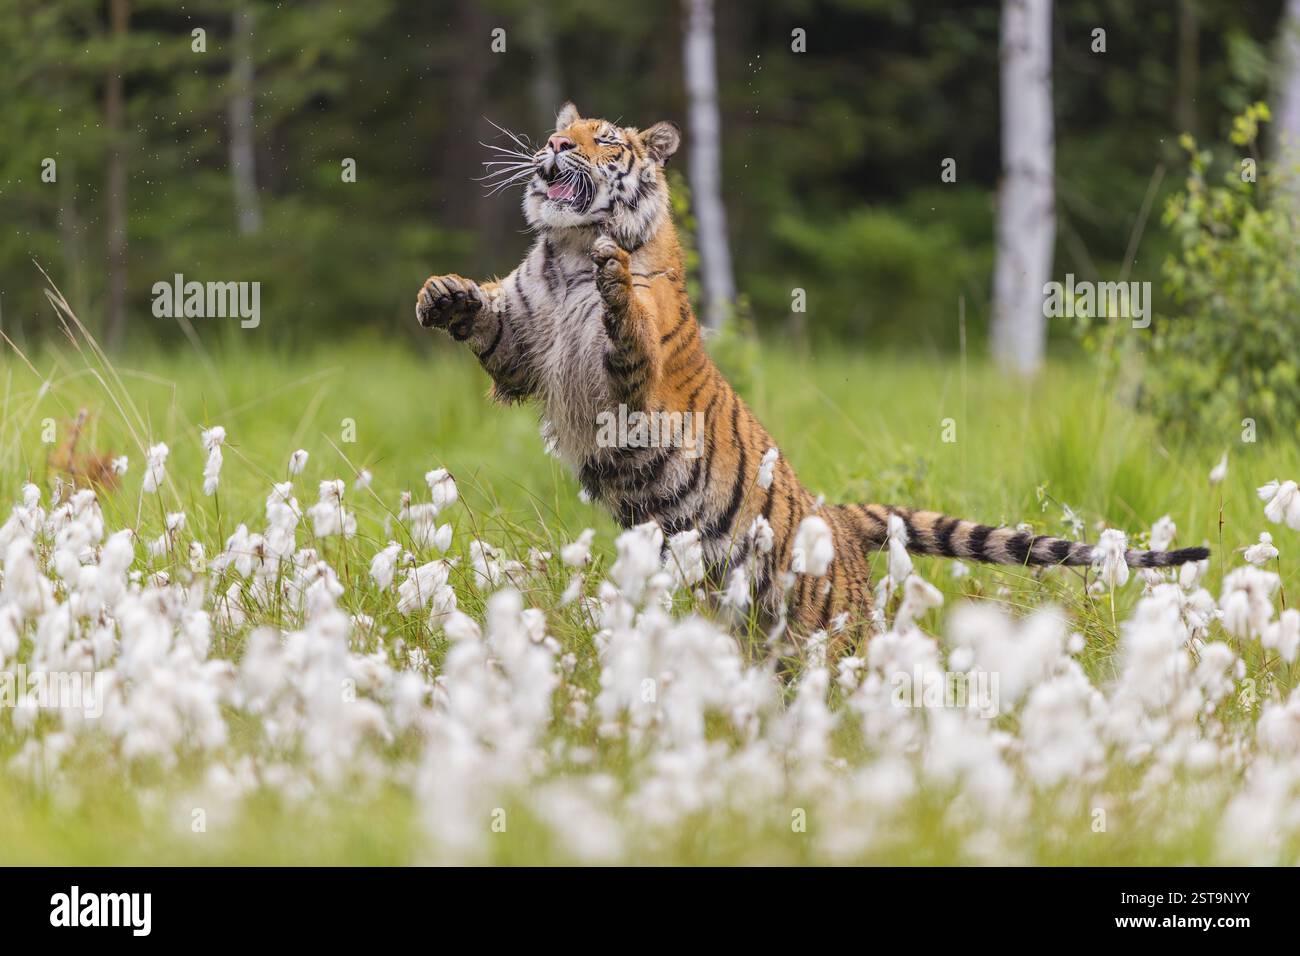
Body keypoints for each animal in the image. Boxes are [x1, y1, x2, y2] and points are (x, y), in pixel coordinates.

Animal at [416, 102, 1208, 642]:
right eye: (566, 132)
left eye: (604, 140)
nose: (552, 146)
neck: (573, 248)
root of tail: (843, 515)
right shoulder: (524, 350)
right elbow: (490, 326)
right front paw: (442, 294)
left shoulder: (633, 385)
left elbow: (628, 324)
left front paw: (617, 280)